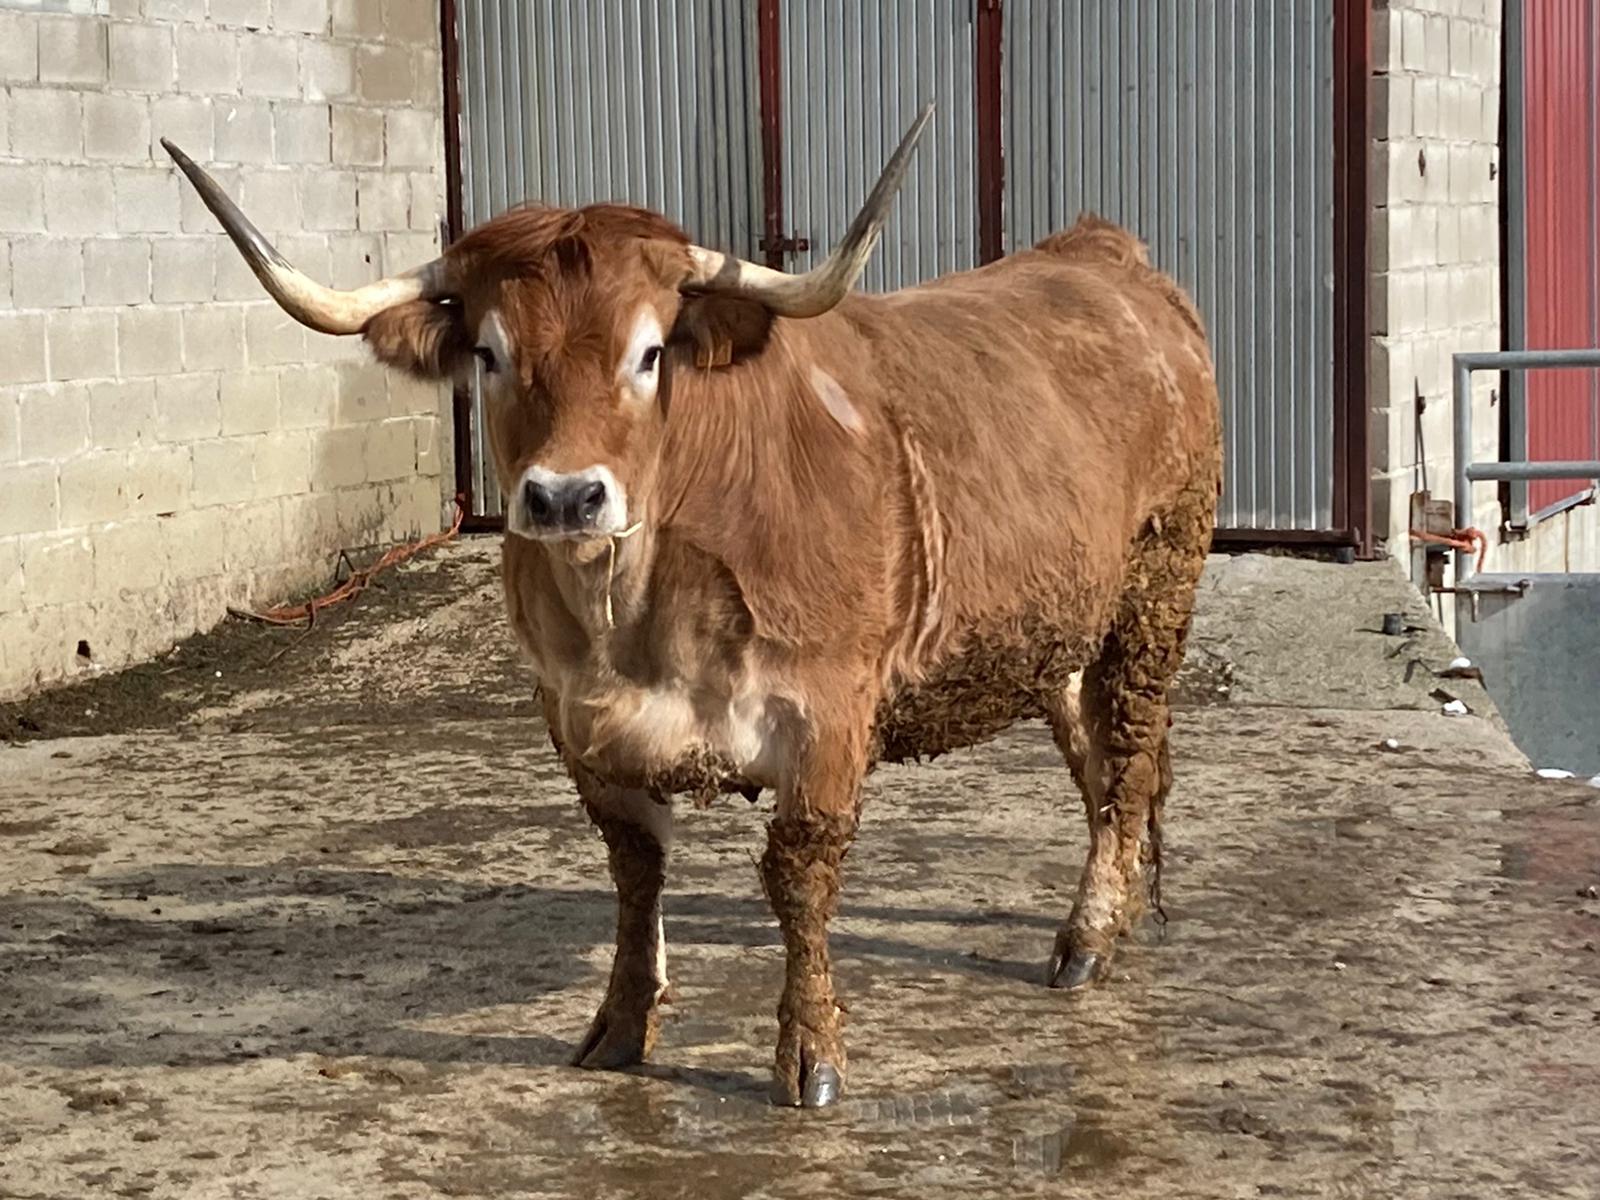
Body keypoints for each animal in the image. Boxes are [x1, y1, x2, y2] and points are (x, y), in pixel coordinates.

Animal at [163, 106, 1221, 1108]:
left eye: (650, 353)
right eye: (491, 355)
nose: (564, 497)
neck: (635, 623)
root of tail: (1099, 254)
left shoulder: (829, 716)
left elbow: (800, 877)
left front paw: (810, 1057)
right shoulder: (579, 725)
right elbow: (635, 874)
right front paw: (621, 1027)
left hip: (1156, 595)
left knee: (1129, 759)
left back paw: (1087, 938)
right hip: (1062, 632)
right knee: (1102, 765)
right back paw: (1120, 912)